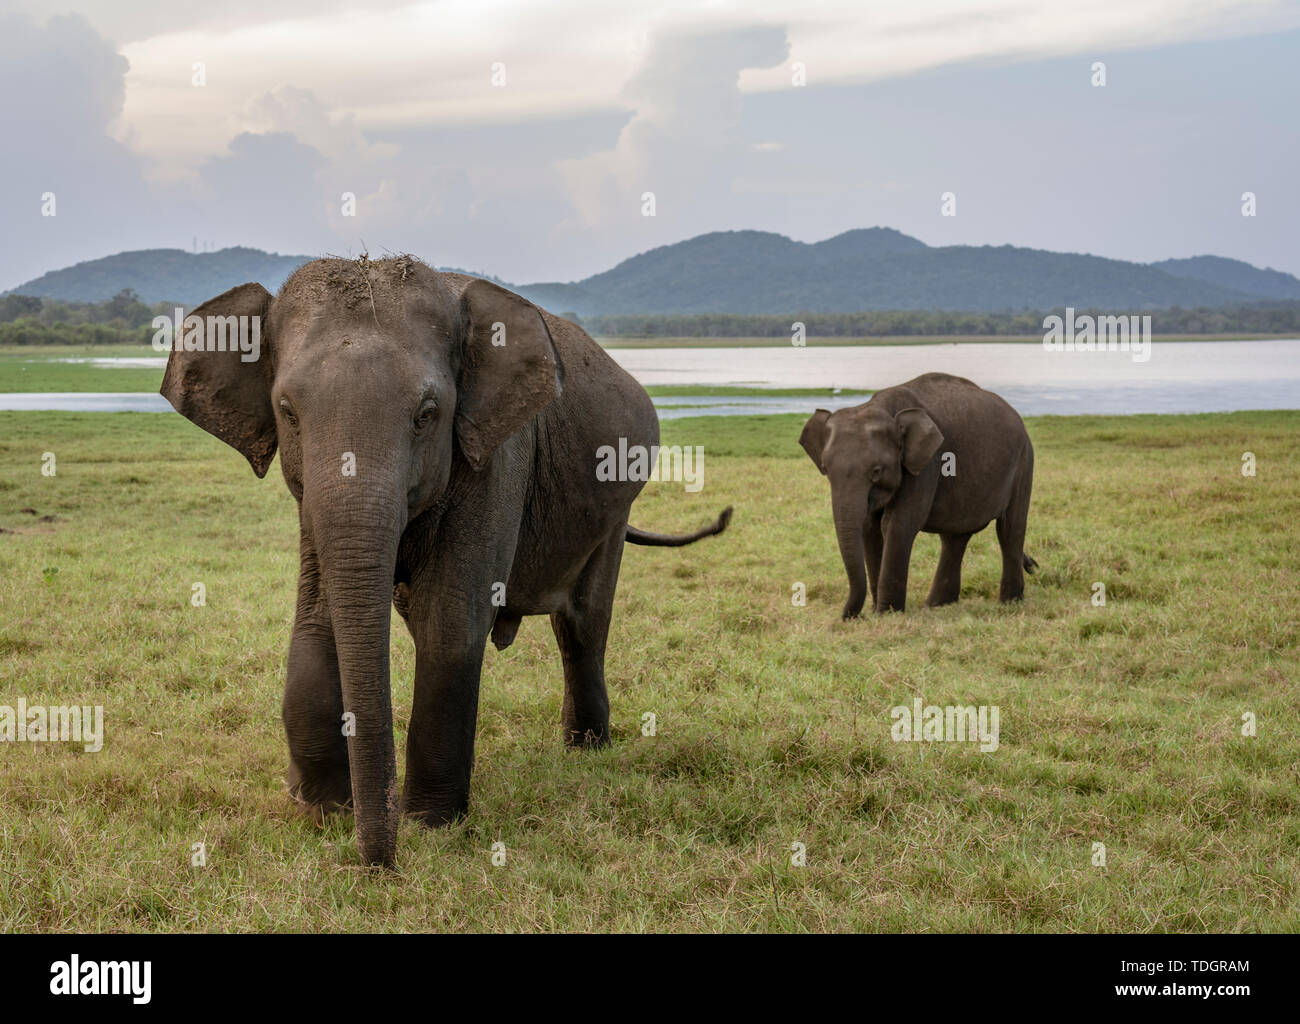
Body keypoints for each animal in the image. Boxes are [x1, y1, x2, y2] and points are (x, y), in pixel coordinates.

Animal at [161, 256, 731, 868]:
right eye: (287, 412)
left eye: (427, 414)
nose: (379, 867)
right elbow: (317, 620)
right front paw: (321, 810)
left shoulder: (497, 457)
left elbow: (451, 623)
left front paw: (430, 824)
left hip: (615, 505)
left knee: (581, 625)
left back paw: (587, 751)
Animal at [799, 373, 1036, 619]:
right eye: (825, 468)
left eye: (876, 471)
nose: (851, 618)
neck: (883, 408)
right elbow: (869, 527)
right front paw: (878, 613)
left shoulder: (928, 464)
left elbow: (896, 524)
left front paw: (887, 614)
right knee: (955, 537)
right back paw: (937, 605)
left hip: (1024, 461)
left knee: (1010, 529)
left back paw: (1009, 603)